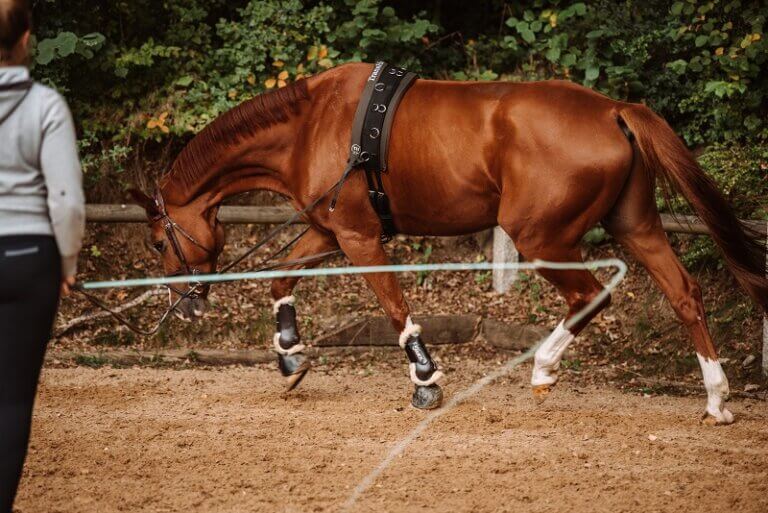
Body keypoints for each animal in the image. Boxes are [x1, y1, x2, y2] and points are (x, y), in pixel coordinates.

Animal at [130, 62, 768, 422]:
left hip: (539, 235)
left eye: (159, 242)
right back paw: (716, 400)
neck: (313, 125)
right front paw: (289, 355)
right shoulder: (327, 229)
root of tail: (614, 109)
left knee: (590, 296)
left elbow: (395, 308)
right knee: (684, 295)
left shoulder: (359, 238)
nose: (183, 307)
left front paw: (425, 380)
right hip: (634, 225)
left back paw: (543, 369)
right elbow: (281, 278)